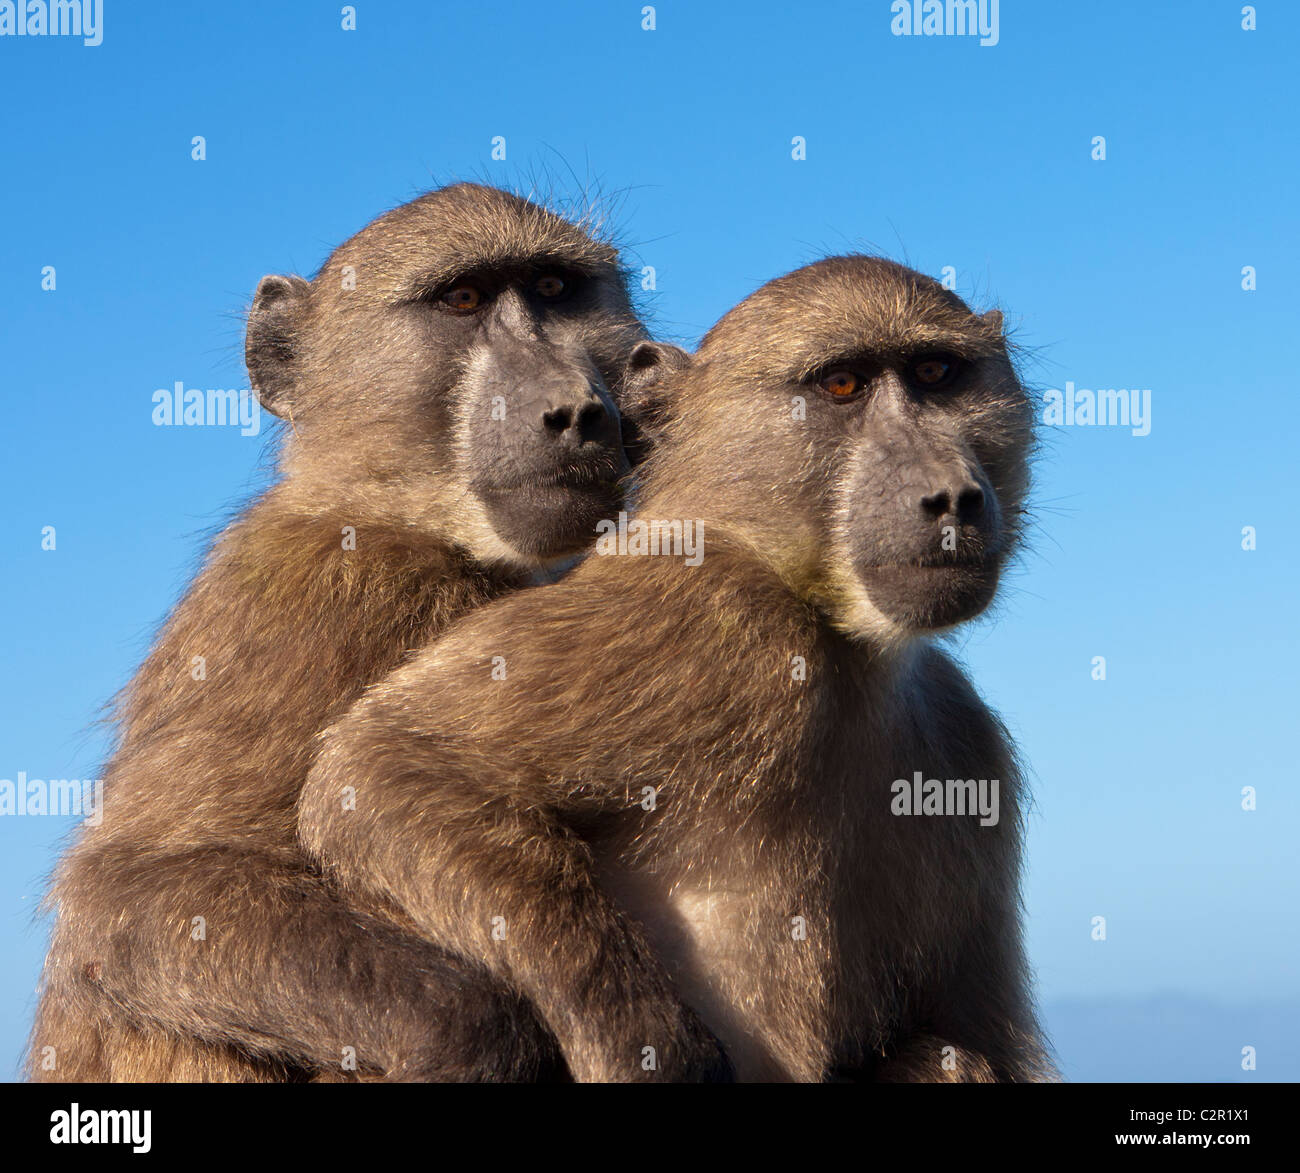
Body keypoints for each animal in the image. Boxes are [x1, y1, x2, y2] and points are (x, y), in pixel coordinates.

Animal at [27, 181, 690, 1083]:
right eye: (462, 300)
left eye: (556, 289)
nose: (576, 411)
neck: (397, 512)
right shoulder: (329, 606)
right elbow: (130, 891)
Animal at [298, 255, 1057, 1083]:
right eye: (843, 385)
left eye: (936, 373)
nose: (950, 495)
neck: (839, 634)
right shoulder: (709, 620)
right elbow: (387, 765)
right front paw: (643, 1037)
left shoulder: (969, 745)